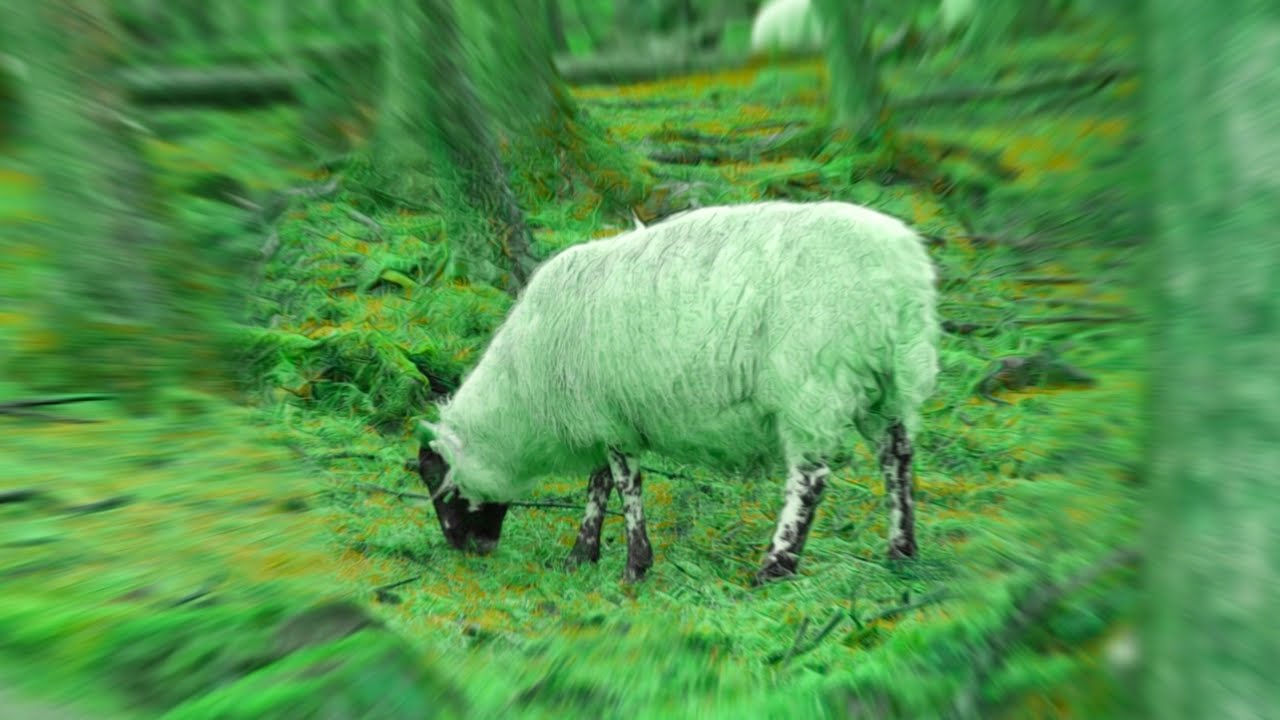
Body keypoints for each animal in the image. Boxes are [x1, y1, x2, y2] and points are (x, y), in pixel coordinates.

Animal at [417, 200, 940, 585]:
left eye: (435, 481)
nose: (464, 549)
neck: (520, 393)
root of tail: (901, 272)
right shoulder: (602, 416)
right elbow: (597, 486)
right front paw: (581, 555)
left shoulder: (610, 419)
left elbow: (627, 488)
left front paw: (634, 566)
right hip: (889, 382)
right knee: (898, 458)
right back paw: (902, 551)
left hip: (814, 382)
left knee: (809, 480)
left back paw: (775, 566)